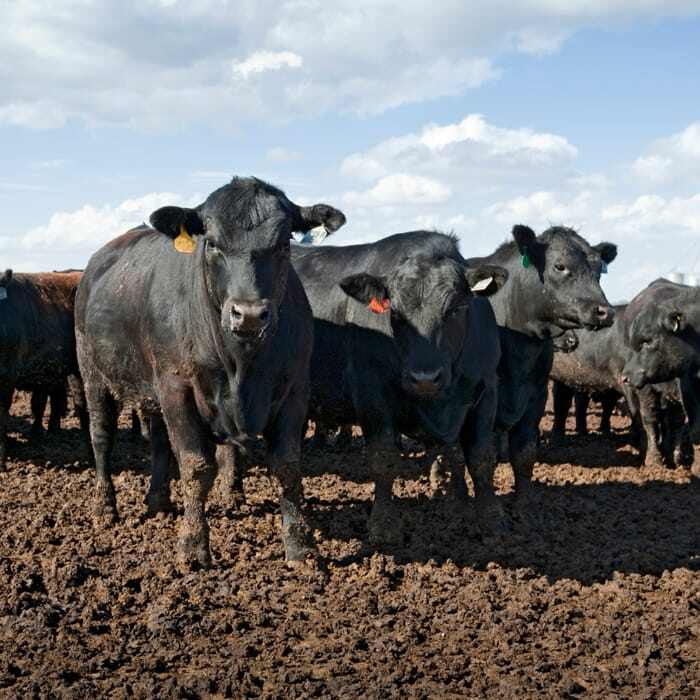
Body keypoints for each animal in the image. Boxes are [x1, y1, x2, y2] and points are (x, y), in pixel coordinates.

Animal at [75, 177, 345, 570]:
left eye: (283, 243)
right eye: (213, 243)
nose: (249, 314)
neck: (241, 367)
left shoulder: (295, 390)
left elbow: (287, 466)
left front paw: (300, 548)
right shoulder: (177, 387)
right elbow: (195, 466)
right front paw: (193, 546)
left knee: (159, 441)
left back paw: (158, 500)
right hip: (93, 373)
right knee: (101, 437)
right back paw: (104, 507)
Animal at [270, 231, 509, 545]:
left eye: (457, 309)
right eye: (394, 313)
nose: (424, 377)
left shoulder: (487, 391)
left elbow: (480, 457)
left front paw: (488, 519)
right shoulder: (372, 394)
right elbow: (383, 458)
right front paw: (383, 525)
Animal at [464, 225, 617, 503]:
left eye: (599, 270)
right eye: (559, 266)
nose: (605, 311)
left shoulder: (536, 394)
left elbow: (525, 454)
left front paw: (523, 504)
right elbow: (482, 456)